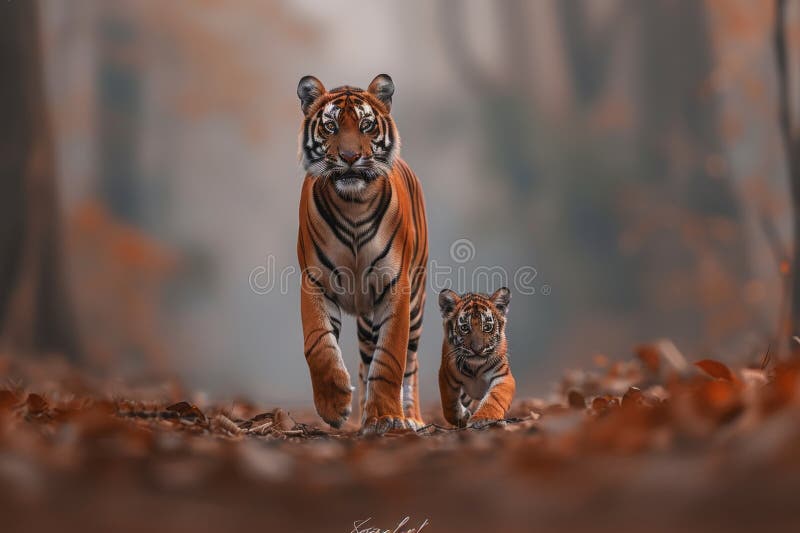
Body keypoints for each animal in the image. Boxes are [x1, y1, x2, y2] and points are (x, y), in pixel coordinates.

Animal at [295, 74, 428, 435]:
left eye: (366, 124)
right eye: (330, 126)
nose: (350, 156)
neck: (353, 204)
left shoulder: (396, 287)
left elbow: (391, 359)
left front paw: (388, 417)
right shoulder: (315, 282)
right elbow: (319, 345)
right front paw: (334, 403)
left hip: (416, 301)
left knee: (410, 362)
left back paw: (409, 417)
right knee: (365, 359)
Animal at [437, 288, 516, 427]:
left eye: (487, 327)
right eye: (464, 328)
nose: (477, 349)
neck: (475, 367)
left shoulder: (503, 375)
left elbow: (495, 398)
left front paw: (483, 418)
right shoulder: (446, 376)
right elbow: (449, 404)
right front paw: (462, 416)